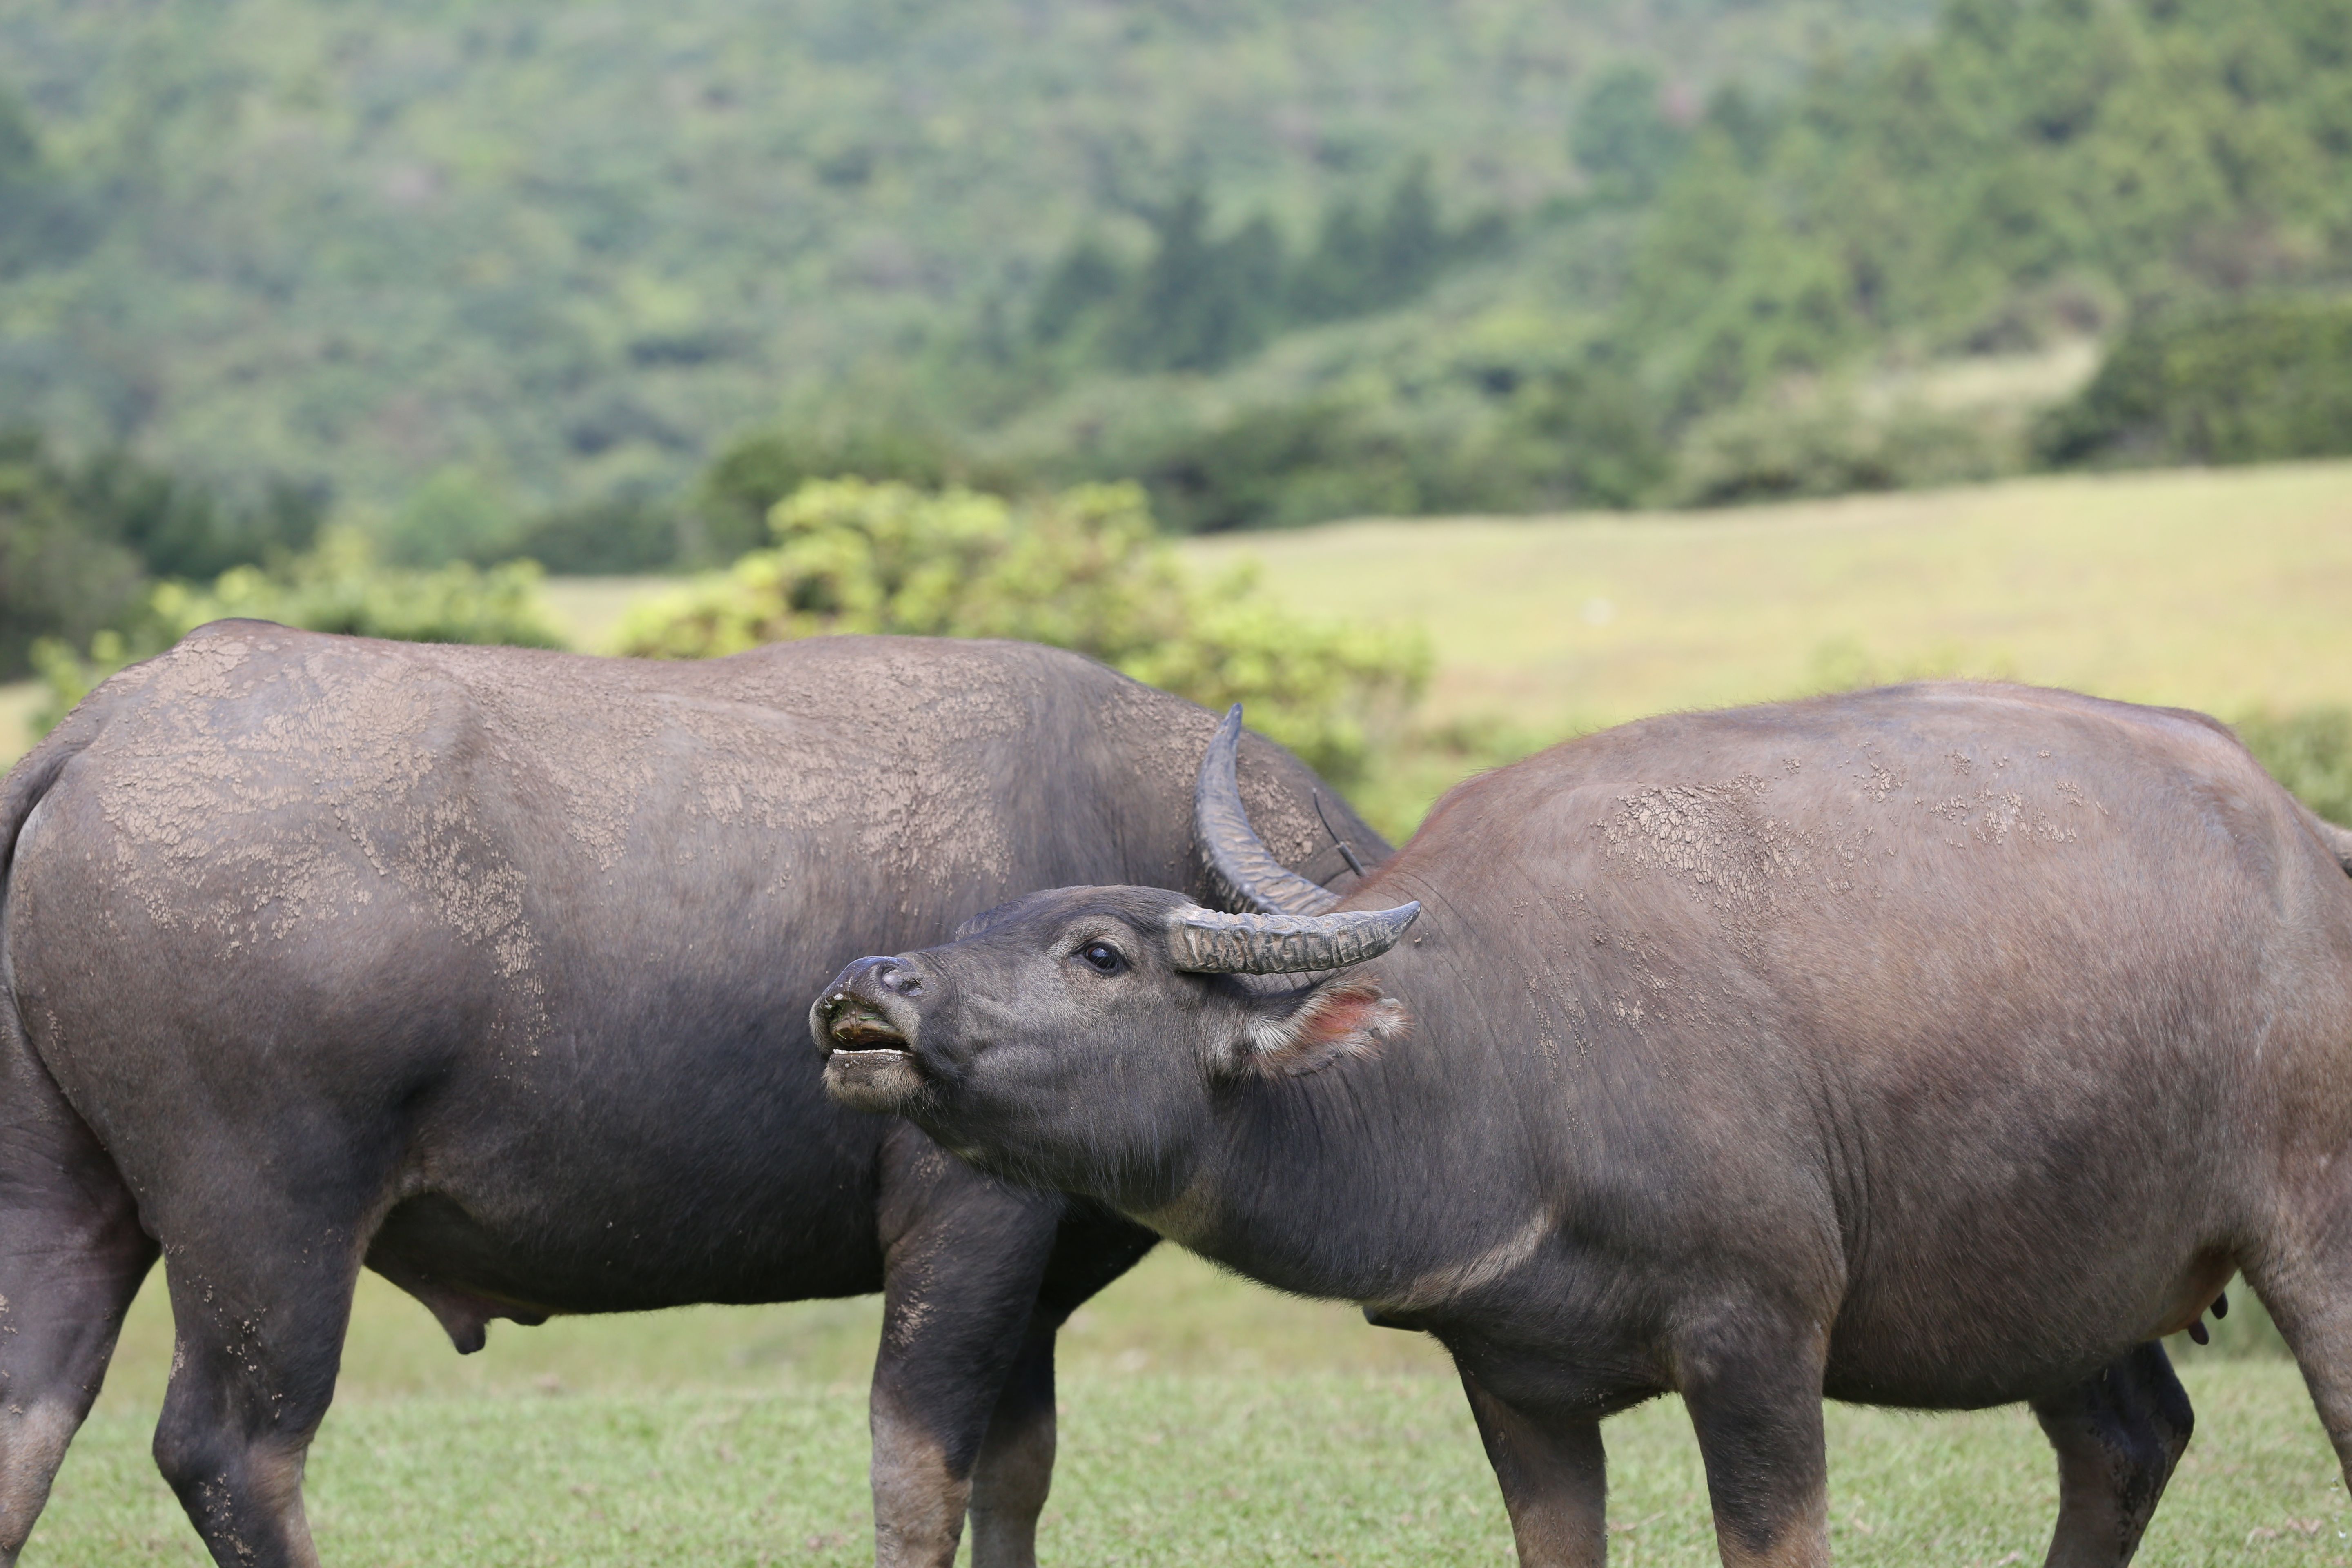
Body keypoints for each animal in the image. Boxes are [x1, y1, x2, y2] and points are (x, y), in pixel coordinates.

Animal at [0, 622, 1388, 1568]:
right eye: (1097, 956)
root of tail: (105, 727)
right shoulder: (967, 1224)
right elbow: (918, 1476)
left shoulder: (1035, 1288)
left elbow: (1017, 1479)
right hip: (265, 1226)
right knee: (232, 1452)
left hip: (68, 1208)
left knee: (28, 1424)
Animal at [817, 687, 2352, 1567]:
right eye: (982, 922)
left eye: (1100, 953)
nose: (860, 992)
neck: (1505, 1080)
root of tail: (2309, 843)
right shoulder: (1518, 1388)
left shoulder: (1760, 1348)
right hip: (2061, 1291)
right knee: (2129, 1443)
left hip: (2313, 1245)